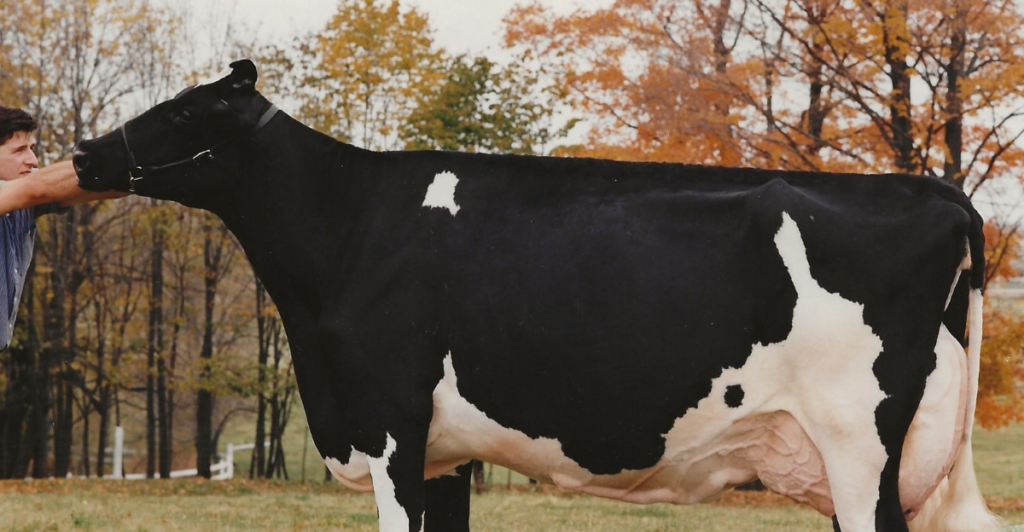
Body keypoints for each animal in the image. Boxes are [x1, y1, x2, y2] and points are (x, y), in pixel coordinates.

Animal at [71, 60, 1002, 532]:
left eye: (185, 113)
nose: (84, 154)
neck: (349, 229)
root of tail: (931, 189)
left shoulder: (389, 428)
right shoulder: (442, 452)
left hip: (859, 448)